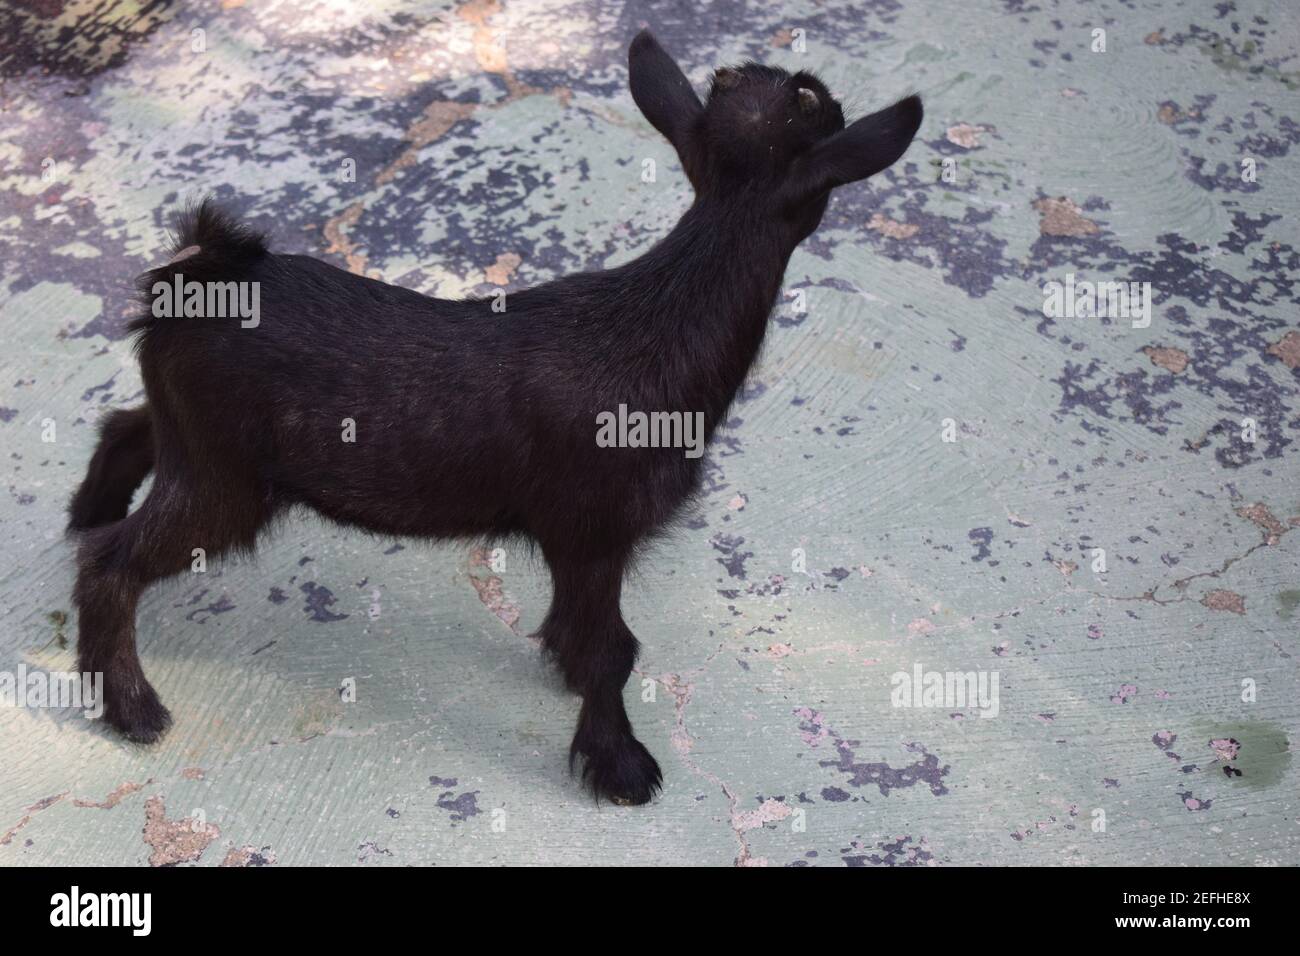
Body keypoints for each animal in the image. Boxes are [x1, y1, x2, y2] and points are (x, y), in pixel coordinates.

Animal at [68, 30, 922, 805]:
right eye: (808, 102)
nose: (816, 83)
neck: (660, 322)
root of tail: (198, 276)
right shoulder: (594, 527)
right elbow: (611, 651)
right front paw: (621, 769)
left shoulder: (579, 541)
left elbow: (587, 639)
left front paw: (567, 678)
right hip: (228, 482)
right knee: (114, 562)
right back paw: (131, 707)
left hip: (194, 438)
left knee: (124, 427)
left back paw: (86, 514)